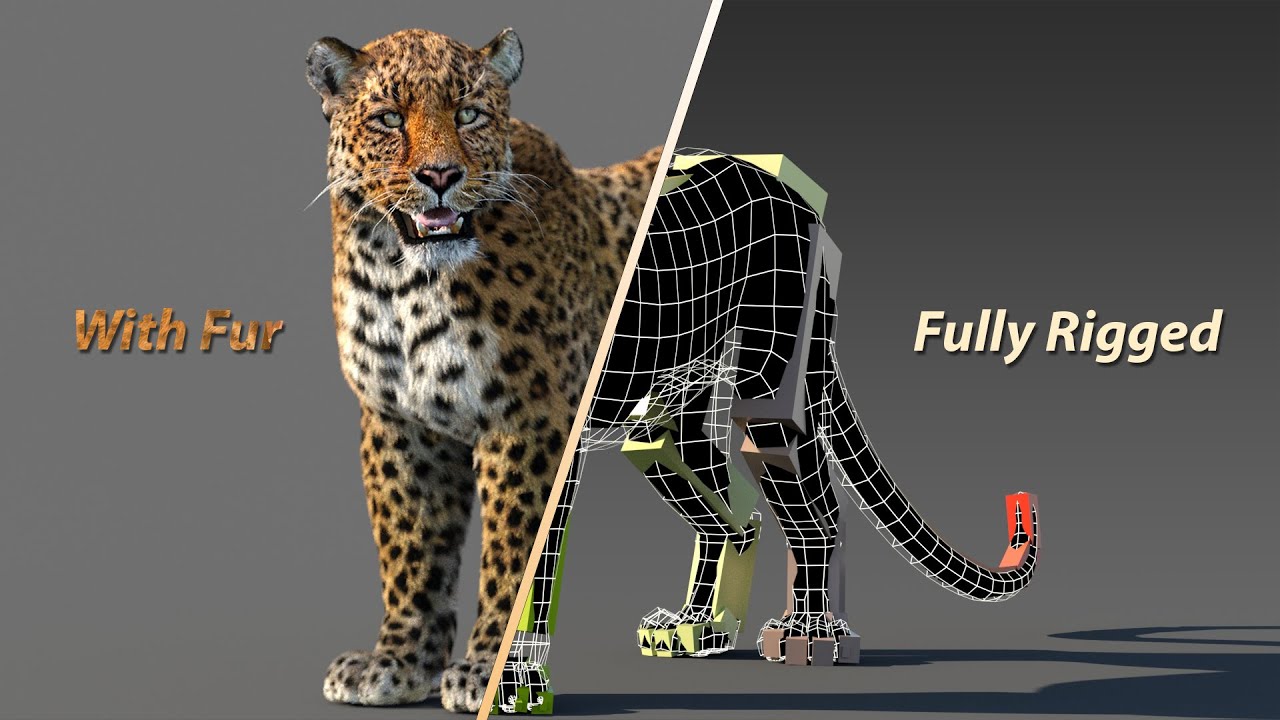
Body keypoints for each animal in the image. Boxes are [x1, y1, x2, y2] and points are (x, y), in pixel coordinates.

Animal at [305, 27, 660, 713]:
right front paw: (398, 663)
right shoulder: (399, 421)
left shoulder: (529, 420)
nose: (441, 175)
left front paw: (493, 671)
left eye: (468, 114)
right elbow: (411, 547)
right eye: (390, 119)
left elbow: (514, 553)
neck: (403, 281)